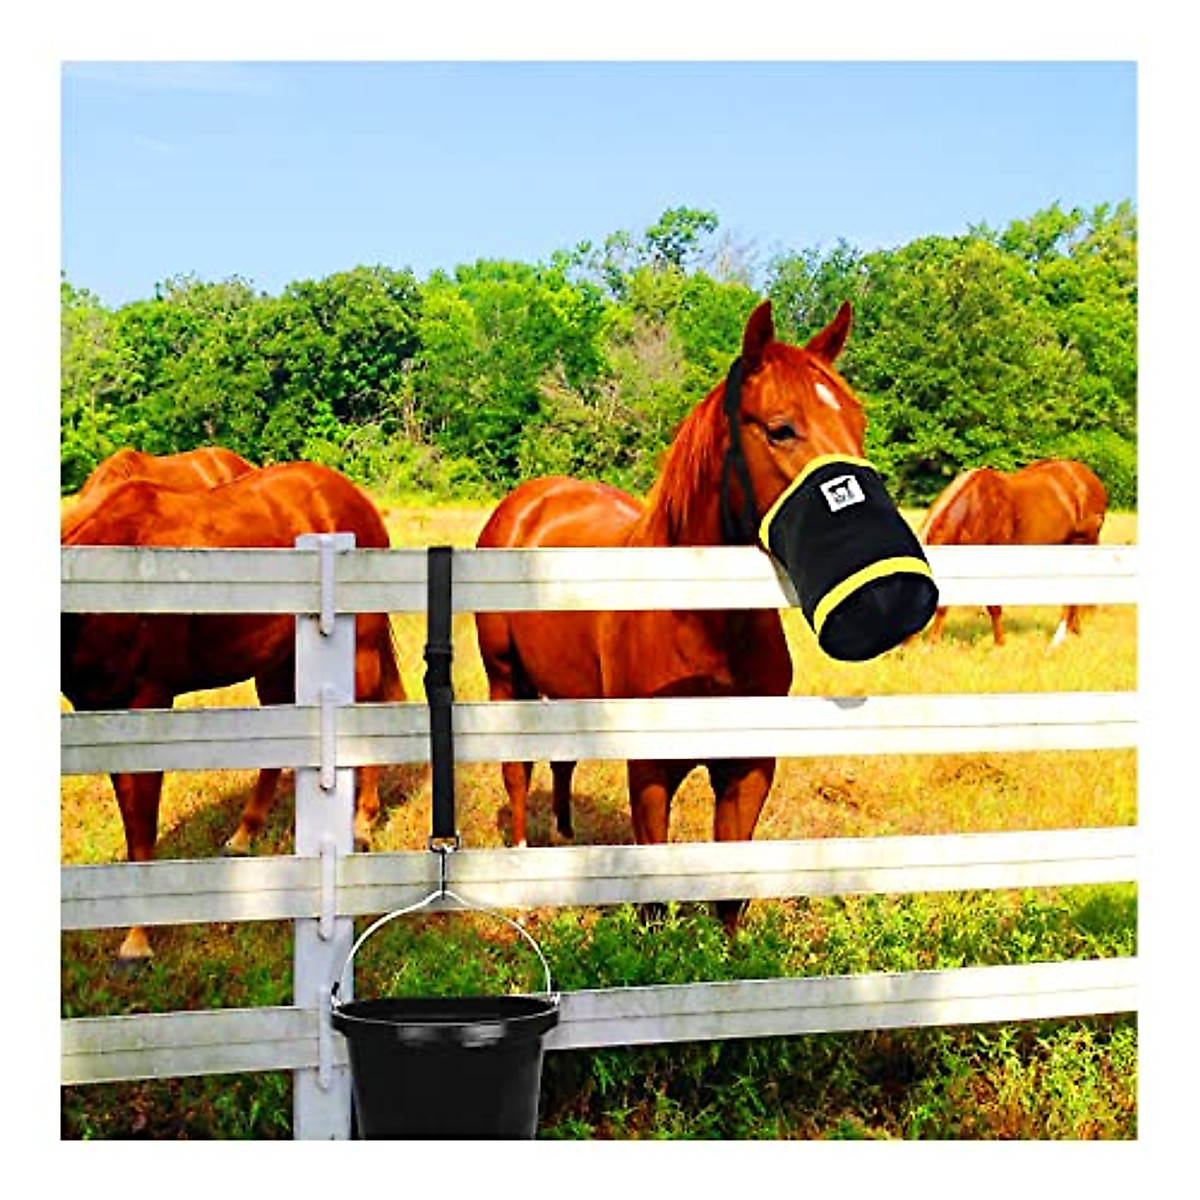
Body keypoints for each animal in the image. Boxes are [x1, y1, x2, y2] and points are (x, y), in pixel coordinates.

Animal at [61, 461, 408, 962]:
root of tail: (350, 494)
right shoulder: (100, 712)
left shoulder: (147, 701)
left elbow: (141, 817)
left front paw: (137, 939)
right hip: (280, 659)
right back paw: (244, 834)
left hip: (358, 645)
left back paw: (361, 823)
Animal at [476, 299, 931, 932]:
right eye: (781, 428)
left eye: (858, 425)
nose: (892, 597)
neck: (703, 622)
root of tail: (529, 502)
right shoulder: (650, 770)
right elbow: (651, 895)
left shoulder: (747, 768)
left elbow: (729, 892)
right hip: (505, 678)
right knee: (517, 770)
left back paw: (566, 838)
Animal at [920, 459, 1108, 647]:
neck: (976, 507)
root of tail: (1089, 477)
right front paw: (932, 643)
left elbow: (993, 606)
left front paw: (999, 643)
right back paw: (1073, 631)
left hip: (1082, 542)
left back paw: (1058, 639)